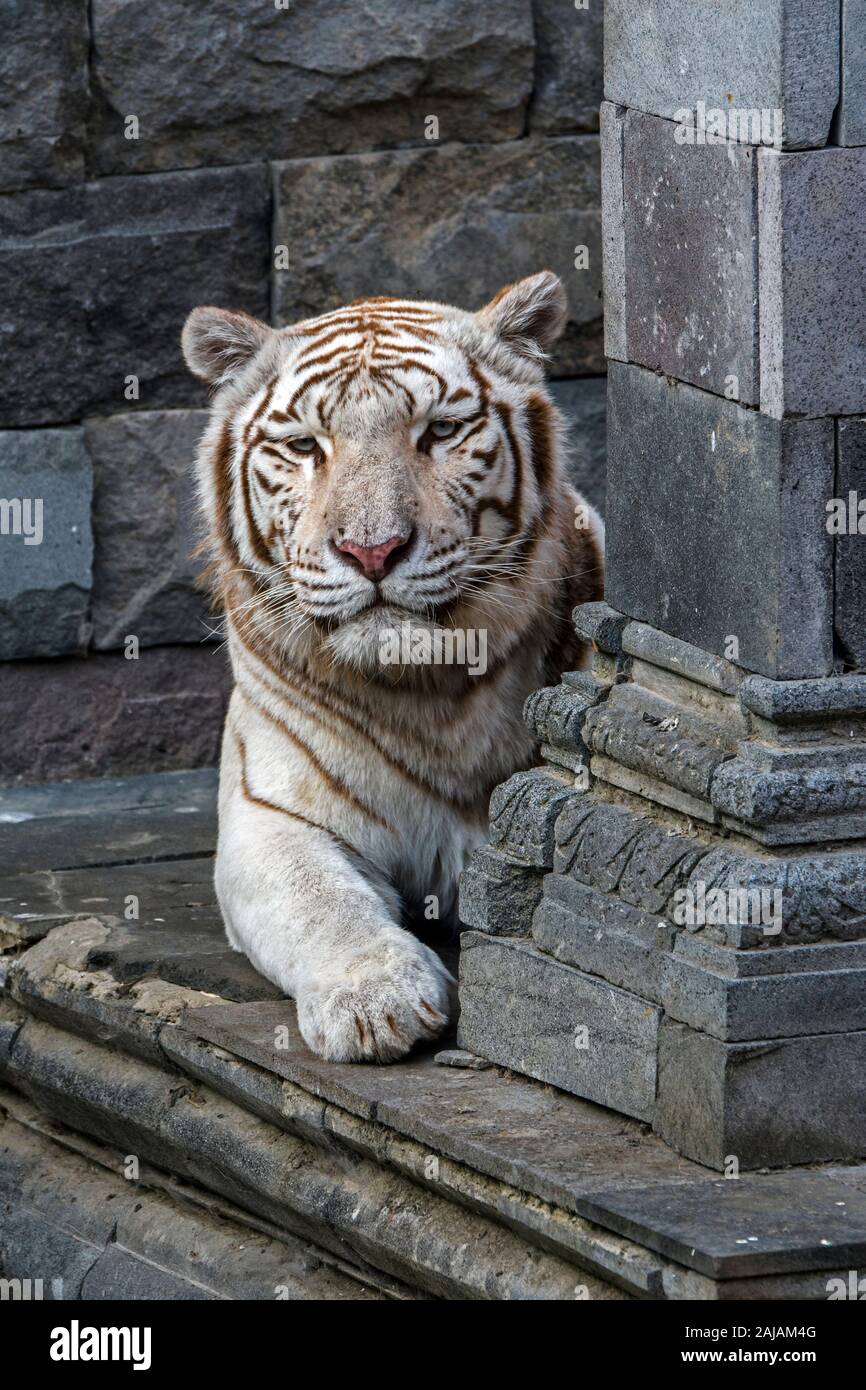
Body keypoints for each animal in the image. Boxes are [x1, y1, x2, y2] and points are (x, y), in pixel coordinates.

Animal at [181, 271, 604, 1063]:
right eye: (304, 445)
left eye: (439, 431)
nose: (372, 550)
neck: (430, 694)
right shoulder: (268, 815)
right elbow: (321, 903)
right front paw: (377, 1004)